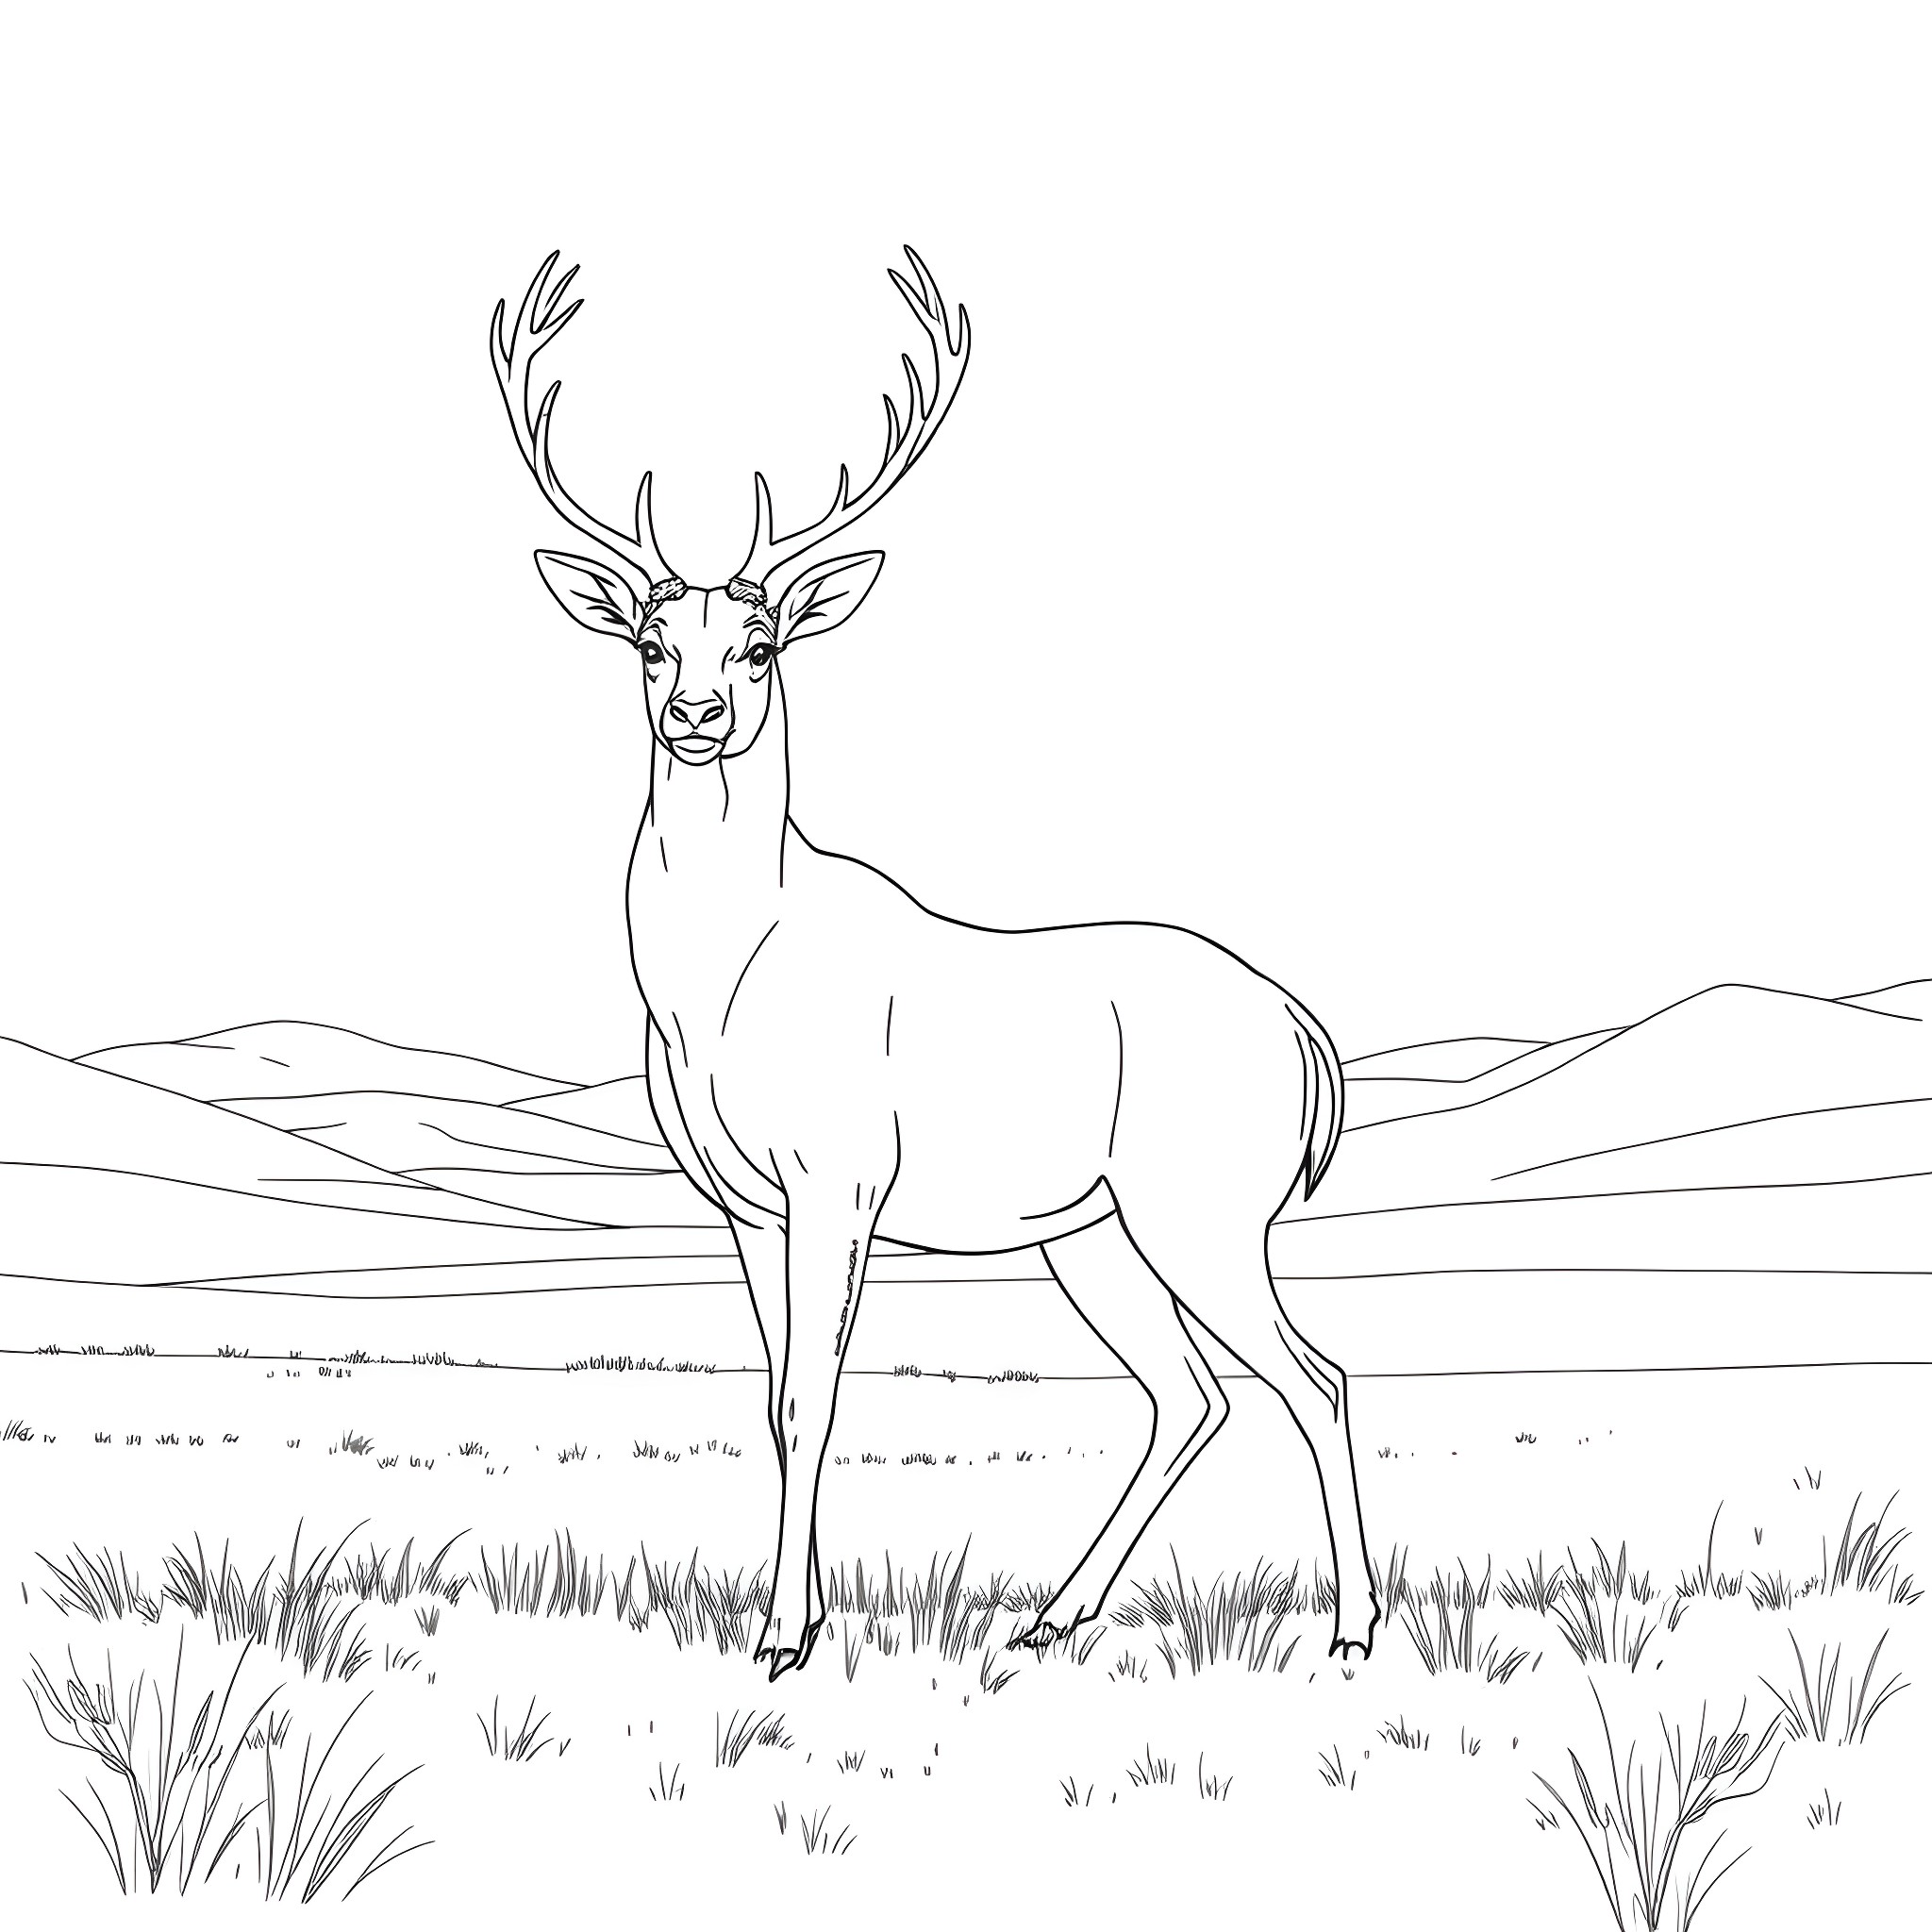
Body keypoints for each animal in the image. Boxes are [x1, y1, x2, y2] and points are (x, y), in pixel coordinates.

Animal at [488, 247, 1378, 1678]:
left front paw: (783, 1639)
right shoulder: (744, 1202)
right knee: (1187, 1393)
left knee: (1313, 1376)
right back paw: (1050, 1615)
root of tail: (1304, 1033)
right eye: (647, 641)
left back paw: (1351, 1629)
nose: (696, 716)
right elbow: (778, 1399)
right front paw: (799, 1614)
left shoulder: (839, 1175)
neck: (718, 992)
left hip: (1203, 1207)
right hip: (1091, 1231)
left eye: (761, 644)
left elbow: (815, 1394)